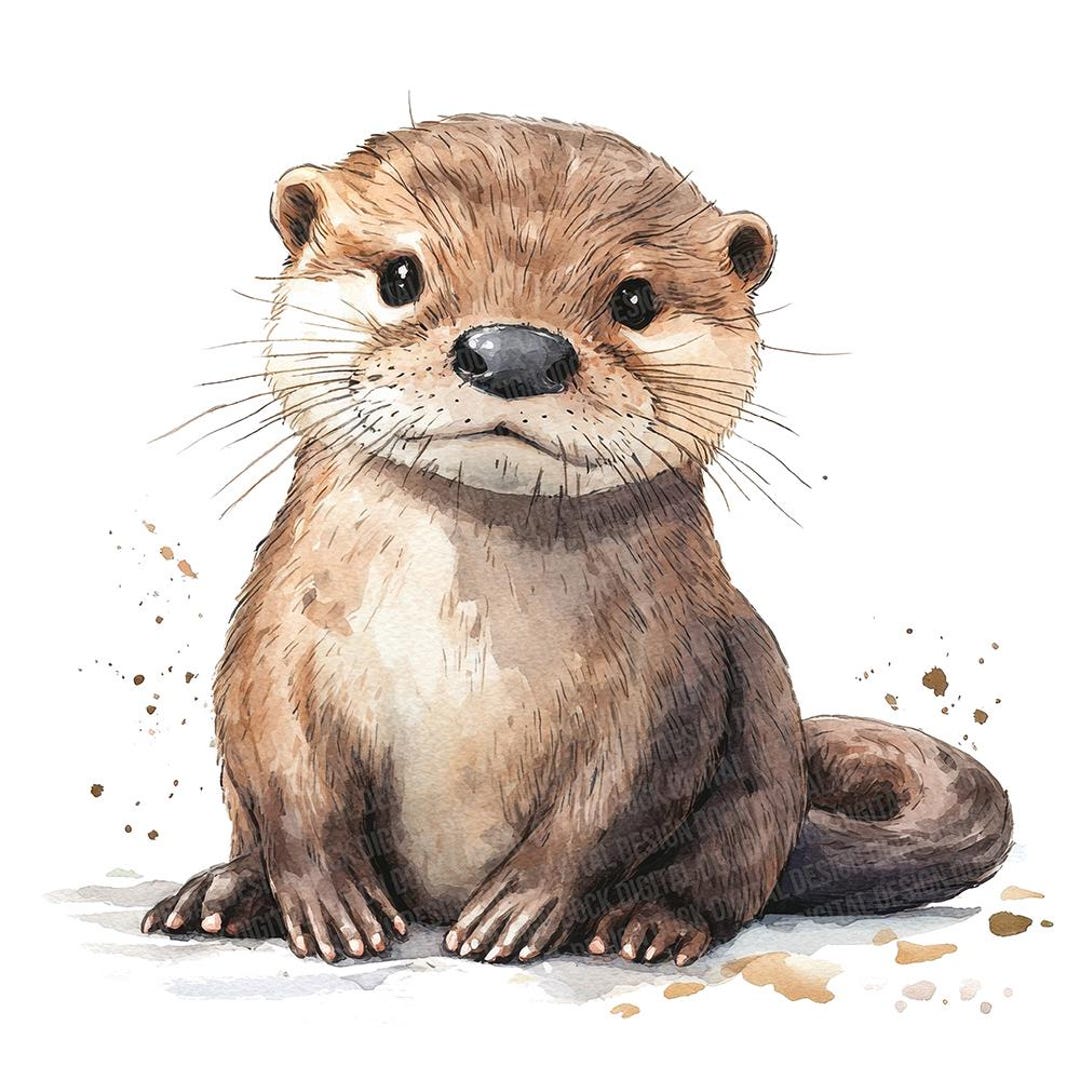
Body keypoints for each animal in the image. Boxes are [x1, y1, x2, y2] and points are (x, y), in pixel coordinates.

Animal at [143, 115, 1012, 966]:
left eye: (635, 297)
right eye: (399, 275)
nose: (513, 350)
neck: (466, 629)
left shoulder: (671, 667)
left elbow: (617, 797)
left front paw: (519, 909)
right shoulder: (275, 631)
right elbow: (284, 764)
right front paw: (333, 903)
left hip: (762, 712)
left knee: (727, 869)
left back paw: (651, 922)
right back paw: (219, 895)